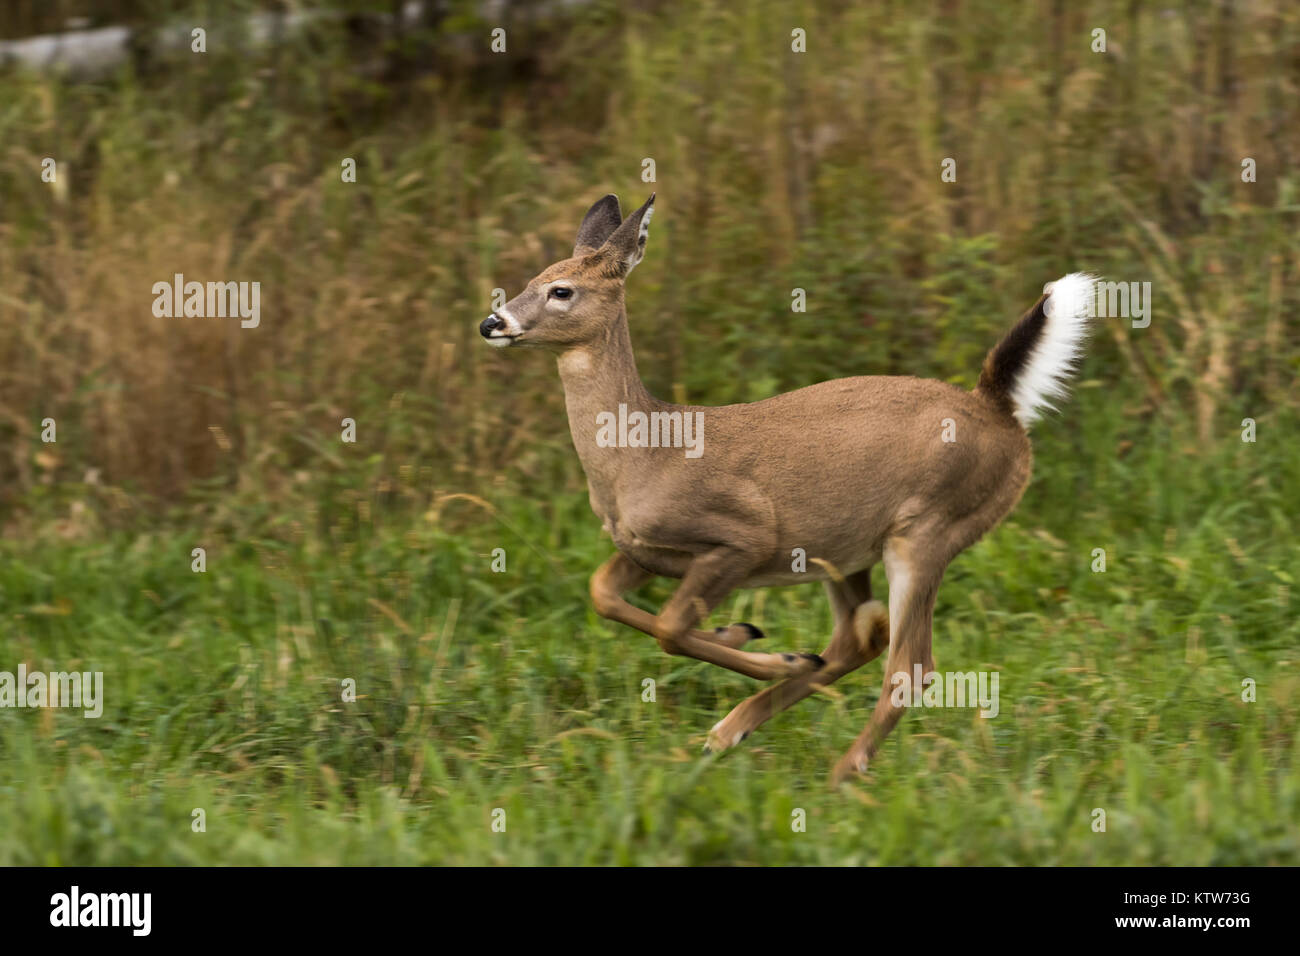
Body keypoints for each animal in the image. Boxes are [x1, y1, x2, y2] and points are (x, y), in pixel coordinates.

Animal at [479, 193, 1096, 784]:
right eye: (533, 278)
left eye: (561, 290)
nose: (493, 323)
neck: (645, 454)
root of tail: (1000, 411)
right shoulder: (644, 548)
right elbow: (603, 593)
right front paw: (745, 636)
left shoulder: (743, 535)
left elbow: (671, 627)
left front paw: (772, 654)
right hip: (844, 550)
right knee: (861, 638)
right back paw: (735, 727)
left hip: (928, 529)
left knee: (910, 666)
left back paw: (838, 767)